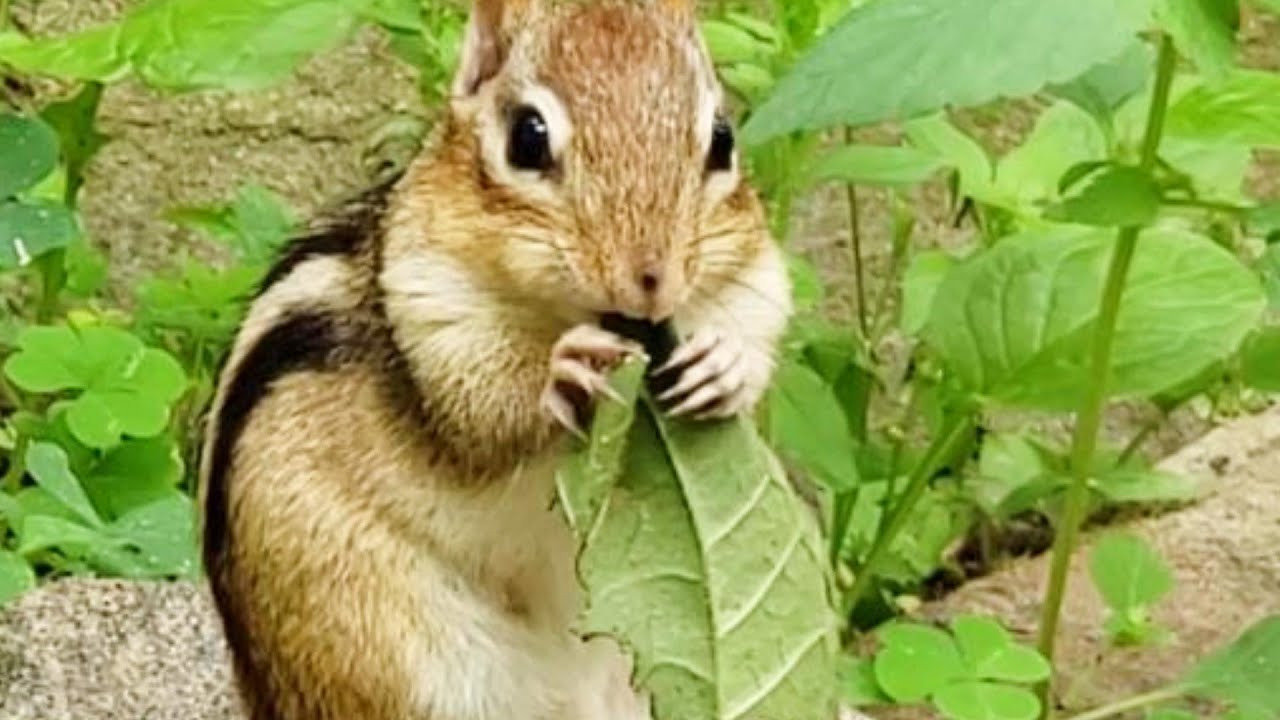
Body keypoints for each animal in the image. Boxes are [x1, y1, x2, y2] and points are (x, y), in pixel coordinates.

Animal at [197, 0, 793, 718]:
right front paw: (562, 371)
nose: (651, 281)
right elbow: (475, 412)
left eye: (722, 139)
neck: (558, 313)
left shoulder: (751, 268)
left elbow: (758, 313)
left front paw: (724, 365)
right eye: (527, 140)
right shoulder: (427, 306)